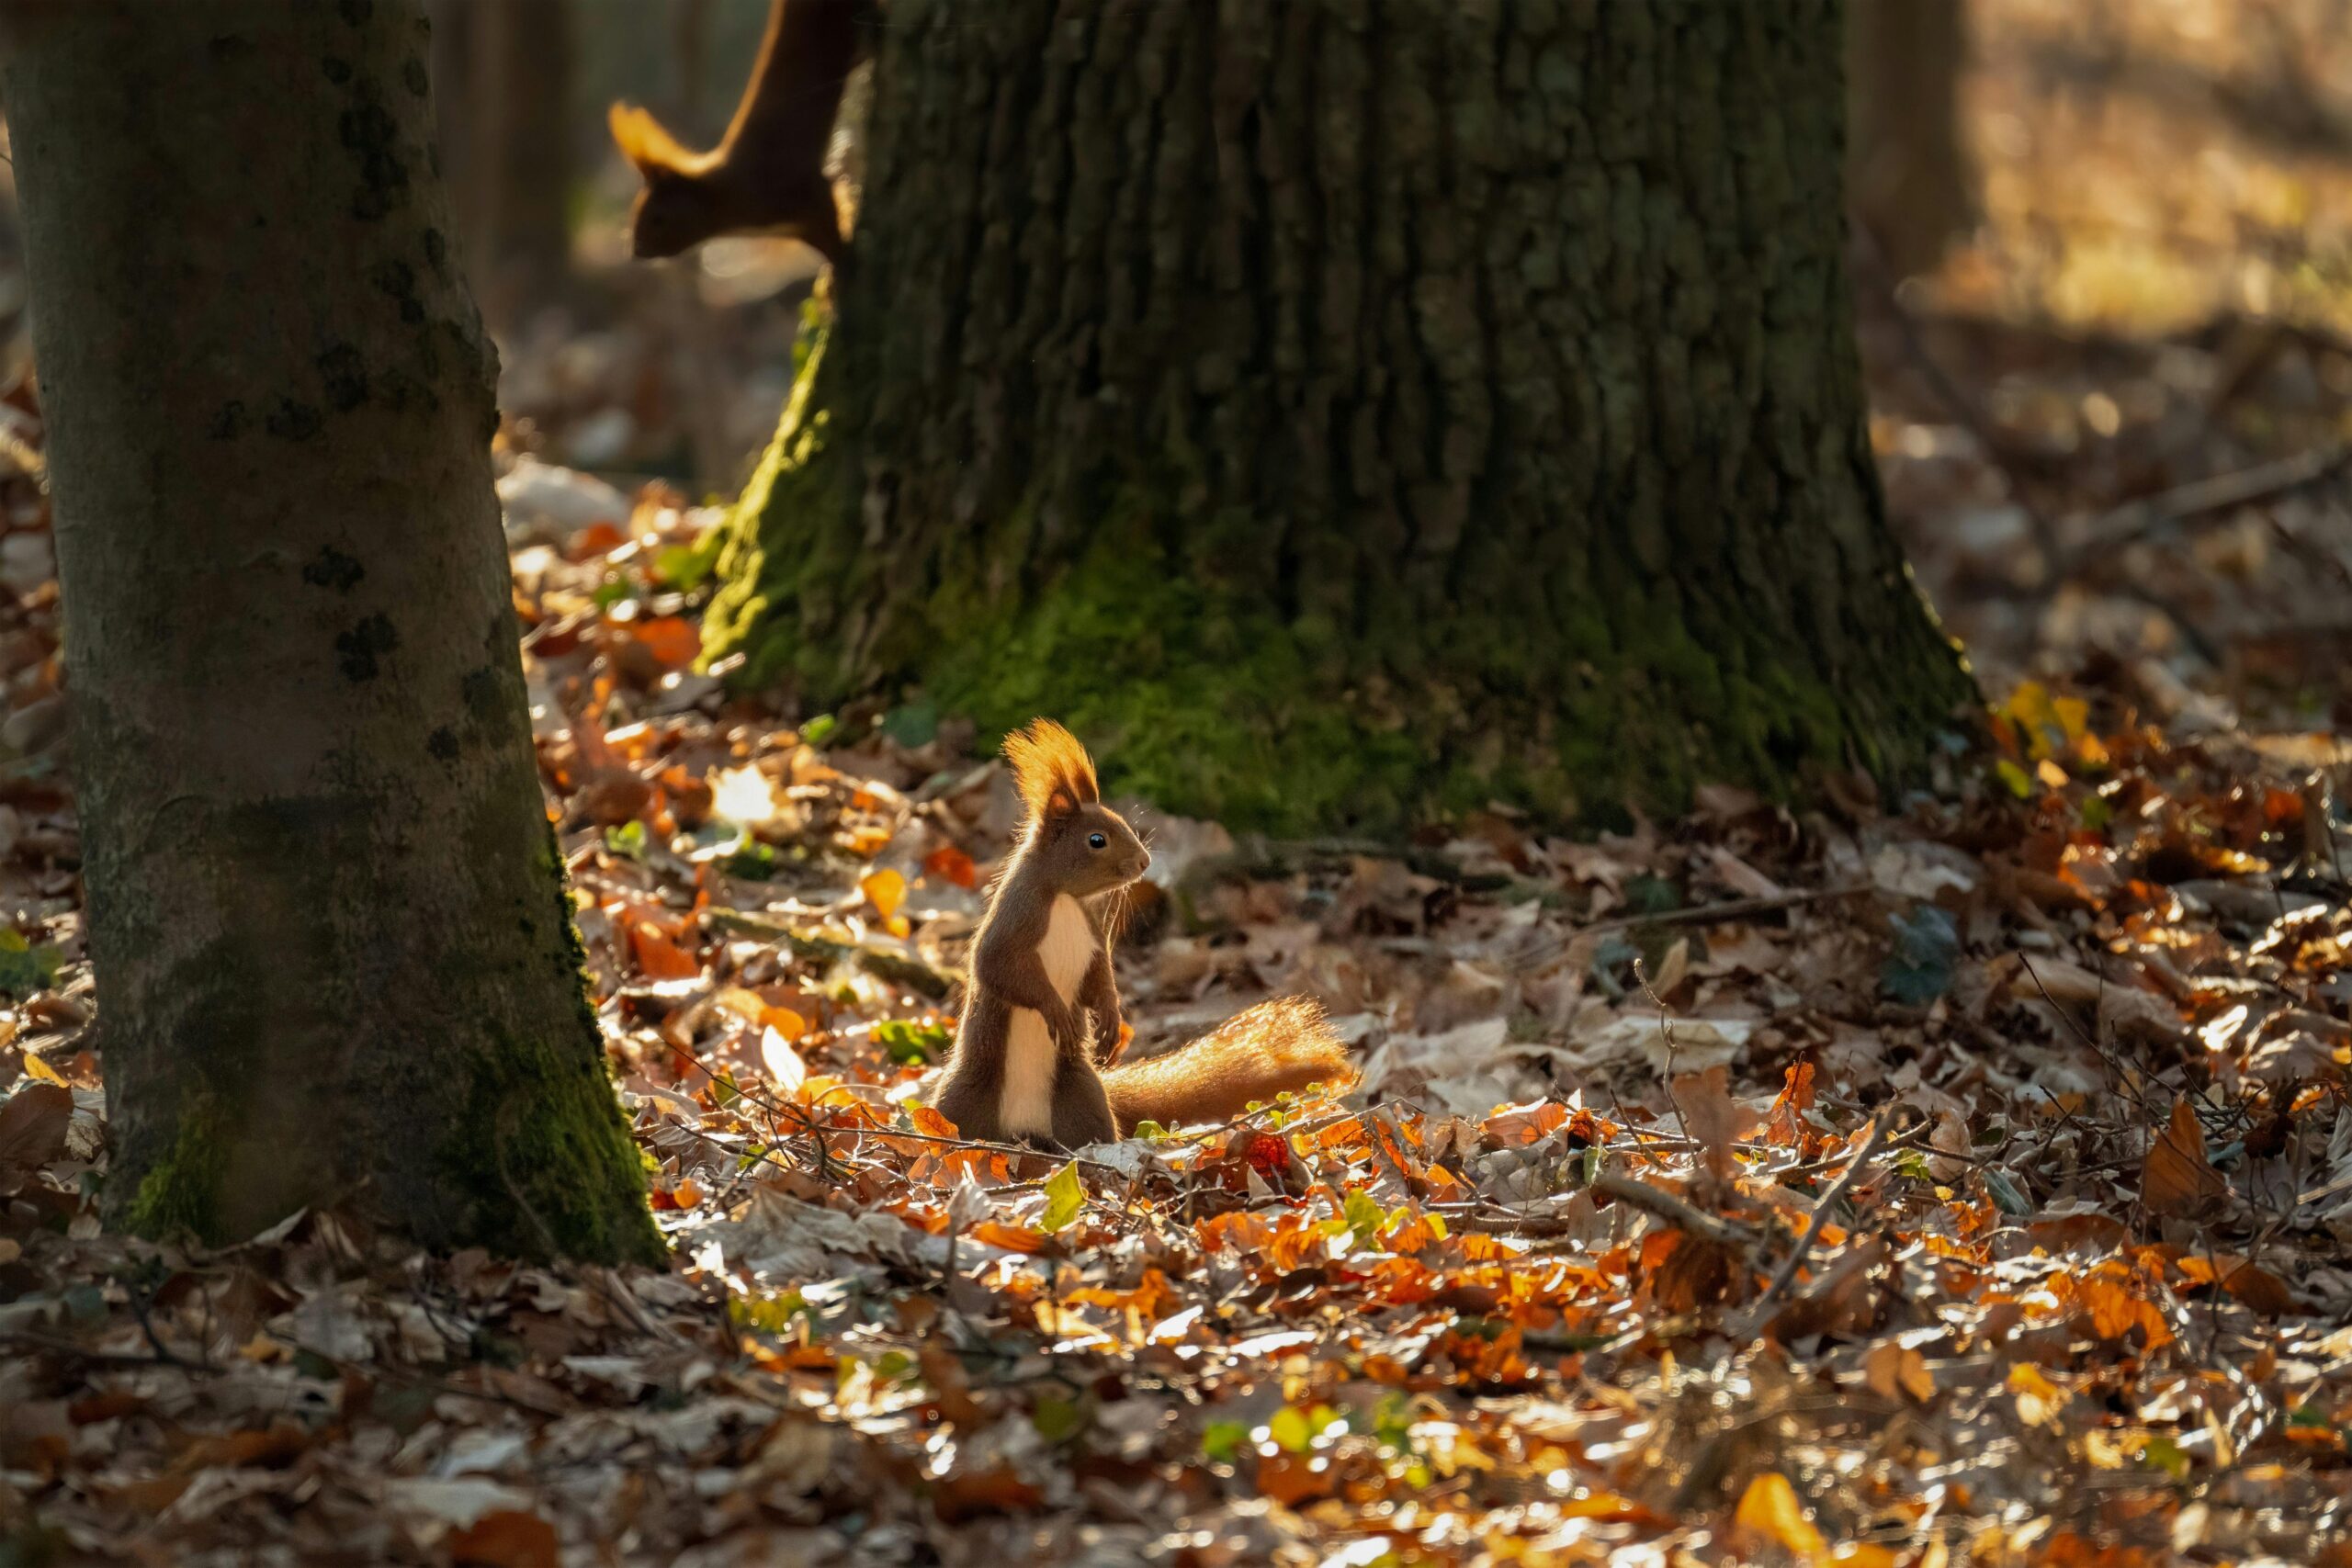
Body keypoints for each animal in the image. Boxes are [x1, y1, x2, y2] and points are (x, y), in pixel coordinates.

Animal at [602, 0, 870, 261]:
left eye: (658, 219)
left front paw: (844, 267)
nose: (635, 252)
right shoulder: (797, 227)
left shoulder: (791, 191)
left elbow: (830, 219)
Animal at [926, 724, 1354, 1152]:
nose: (1145, 862)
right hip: (964, 1097)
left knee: (1093, 1135)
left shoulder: (1093, 937)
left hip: (1080, 1096)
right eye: (1096, 839)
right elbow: (997, 967)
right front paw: (1057, 1011)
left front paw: (1111, 1022)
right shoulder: (1014, 921)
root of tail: (1021, 1131)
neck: (1064, 897)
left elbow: (1100, 977)